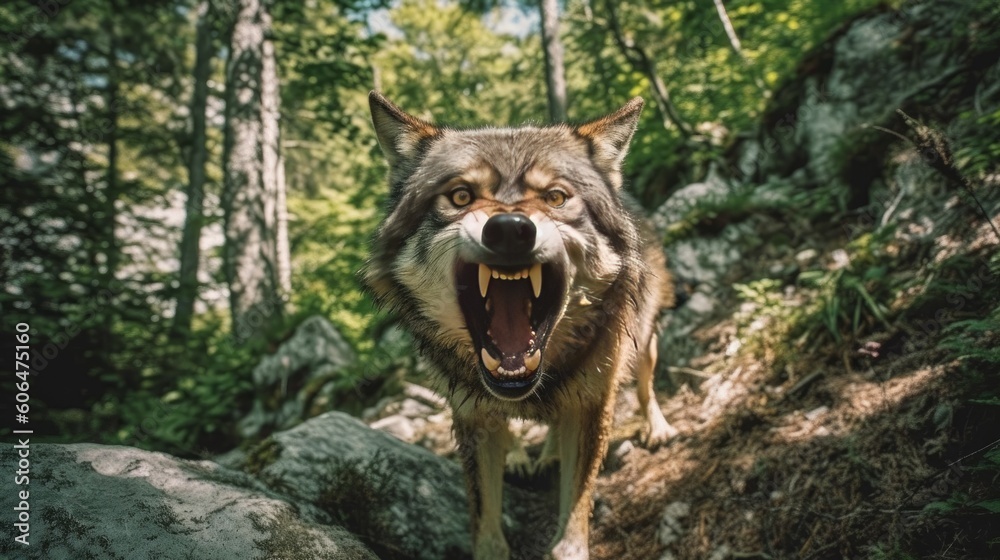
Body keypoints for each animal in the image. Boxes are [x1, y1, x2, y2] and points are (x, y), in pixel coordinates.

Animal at [362, 91, 677, 560]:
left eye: (555, 197)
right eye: (460, 196)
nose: (509, 230)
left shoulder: (593, 402)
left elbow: (576, 502)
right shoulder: (471, 416)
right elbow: (484, 518)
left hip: (641, 341)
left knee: (644, 384)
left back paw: (655, 428)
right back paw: (532, 456)